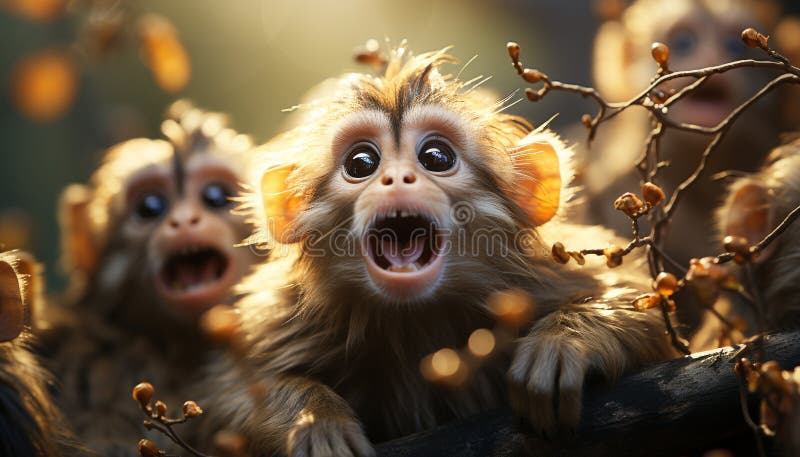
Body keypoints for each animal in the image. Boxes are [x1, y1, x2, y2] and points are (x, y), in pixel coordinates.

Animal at [198, 46, 678, 457]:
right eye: (361, 164)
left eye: (435, 157)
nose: (396, 179)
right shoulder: (277, 315)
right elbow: (224, 398)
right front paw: (313, 418)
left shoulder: (546, 273)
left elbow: (652, 316)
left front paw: (567, 339)